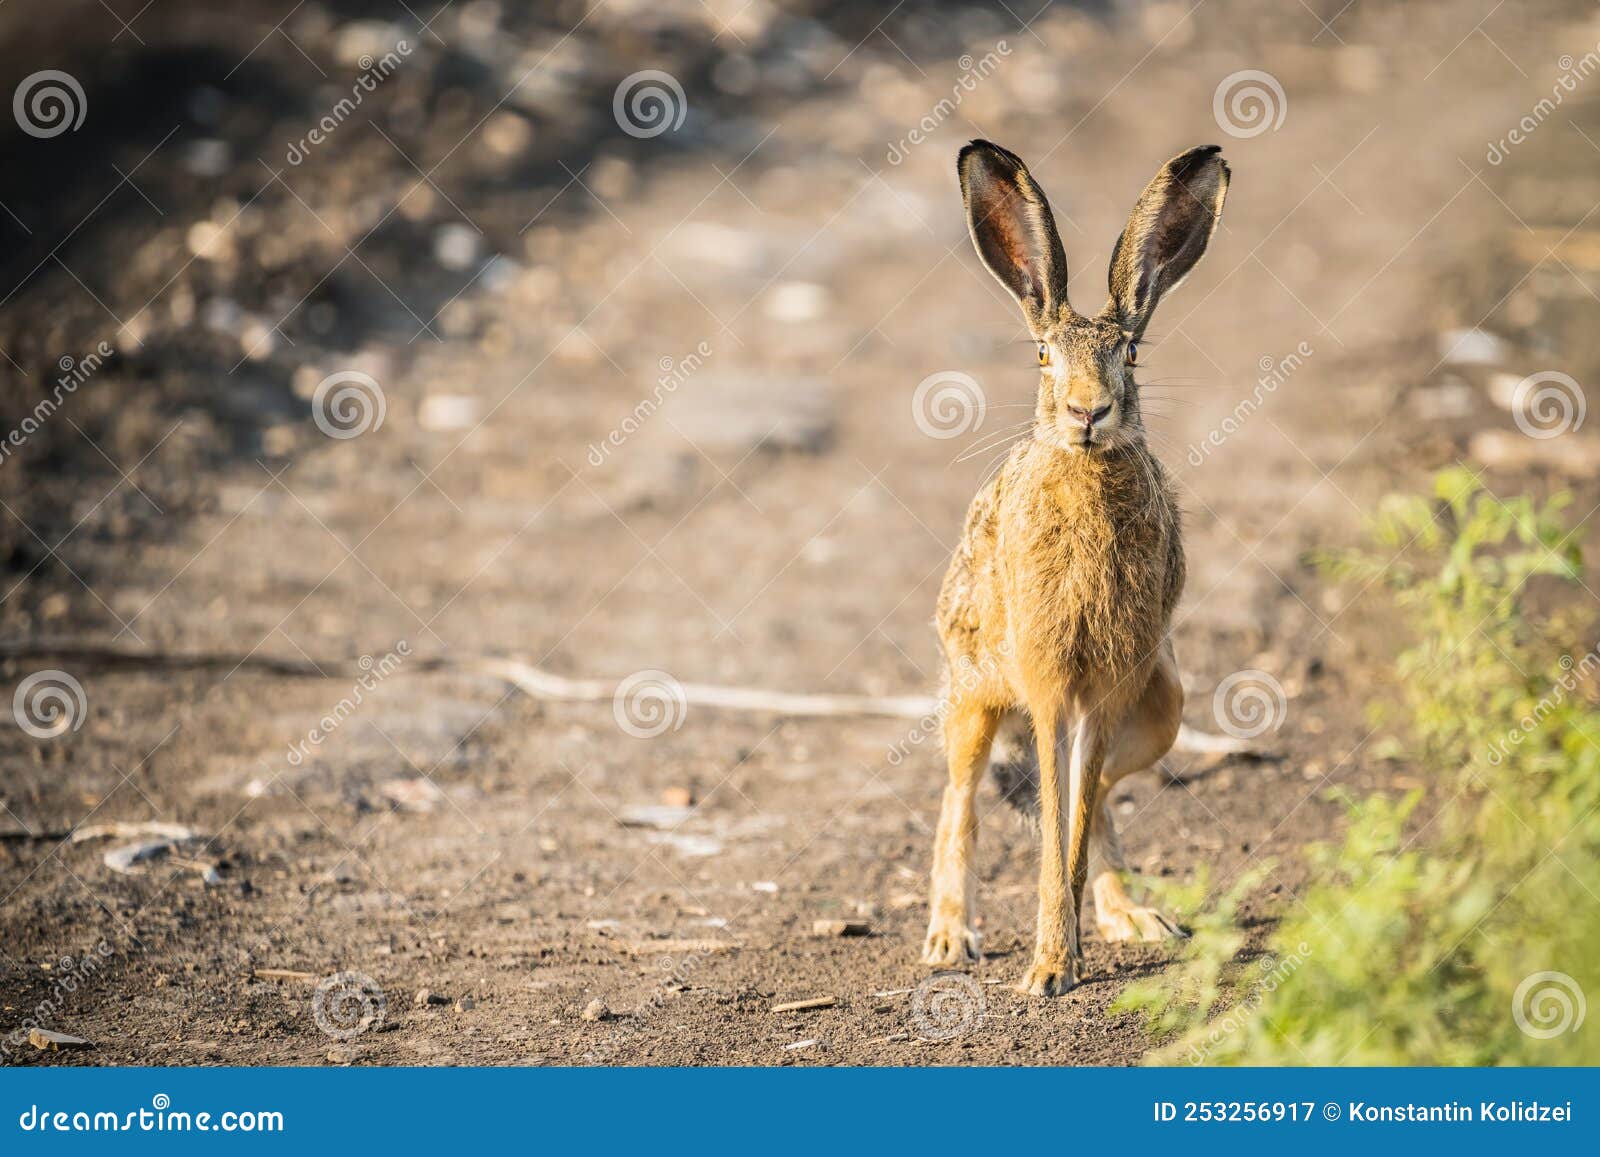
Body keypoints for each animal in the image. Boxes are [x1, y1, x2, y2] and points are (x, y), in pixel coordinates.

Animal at [922, 140, 1229, 996]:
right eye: (1041, 357)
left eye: (1129, 353)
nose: (1087, 413)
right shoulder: (1051, 679)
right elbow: (1056, 824)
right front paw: (1051, 965)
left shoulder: (1111, 684)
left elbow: (1077, 818)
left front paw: (1069, 952)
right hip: (972, 698)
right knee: (962, 798)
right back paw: (948, 936)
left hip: (1163, 704)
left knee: (1099, 794)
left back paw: (1133, 916)